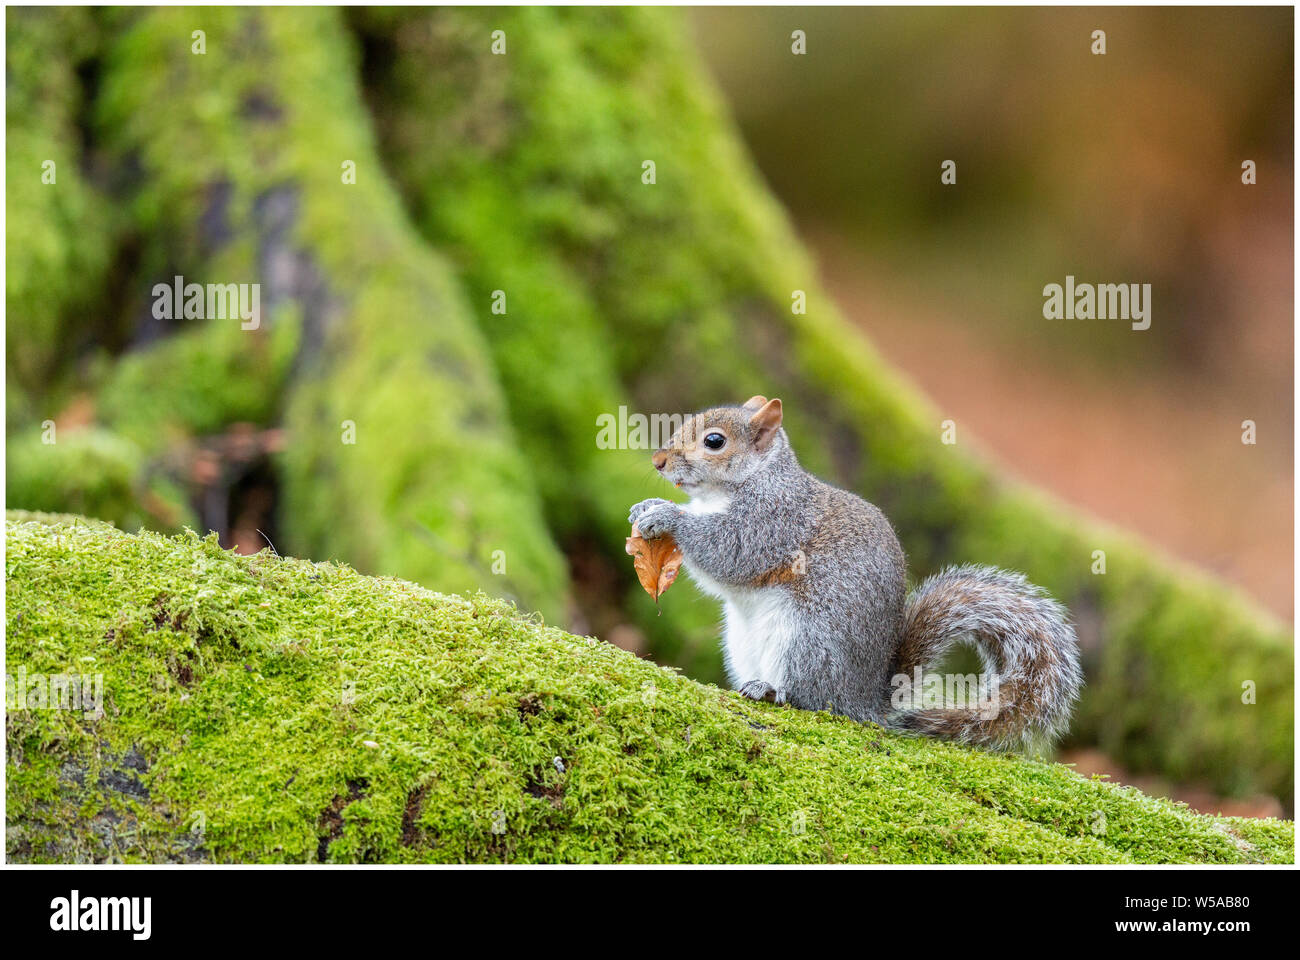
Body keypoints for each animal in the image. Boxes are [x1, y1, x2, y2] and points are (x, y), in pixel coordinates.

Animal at [628, 396, 1082, 751]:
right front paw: (645, 505)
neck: (732, 490)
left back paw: (773, 691)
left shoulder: (775, 522)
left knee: (815, 698)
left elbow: (730, 553)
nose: (657, 461)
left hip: (808, 640)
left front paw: (669, 517)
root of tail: (865, 699)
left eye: (714, 441)